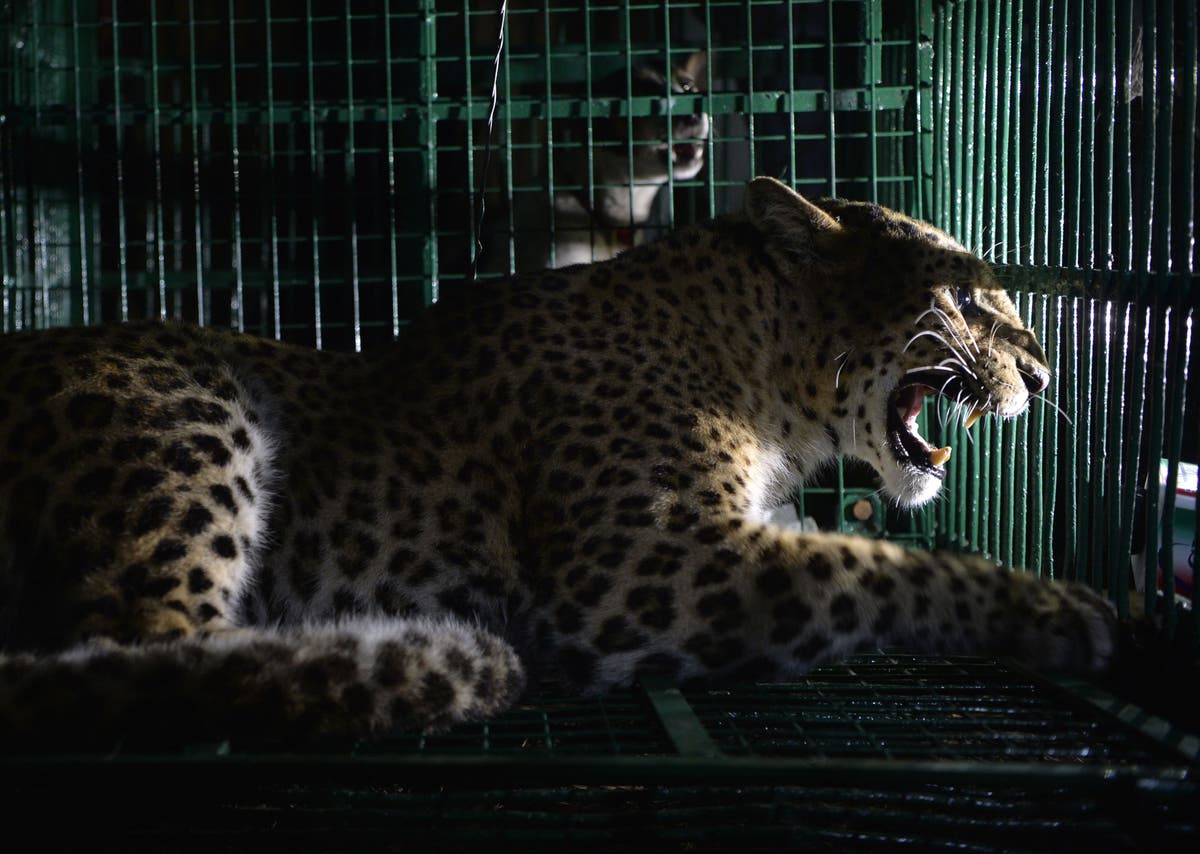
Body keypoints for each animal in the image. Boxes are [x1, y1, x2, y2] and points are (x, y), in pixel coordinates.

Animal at [0, 177, 1115, 749]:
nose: (1045, 369)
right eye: (964, 297)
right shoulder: (639, 570)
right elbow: (878, 568)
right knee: (136, 657)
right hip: (184, 409)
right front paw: (1063, 612)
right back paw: (432, 656)